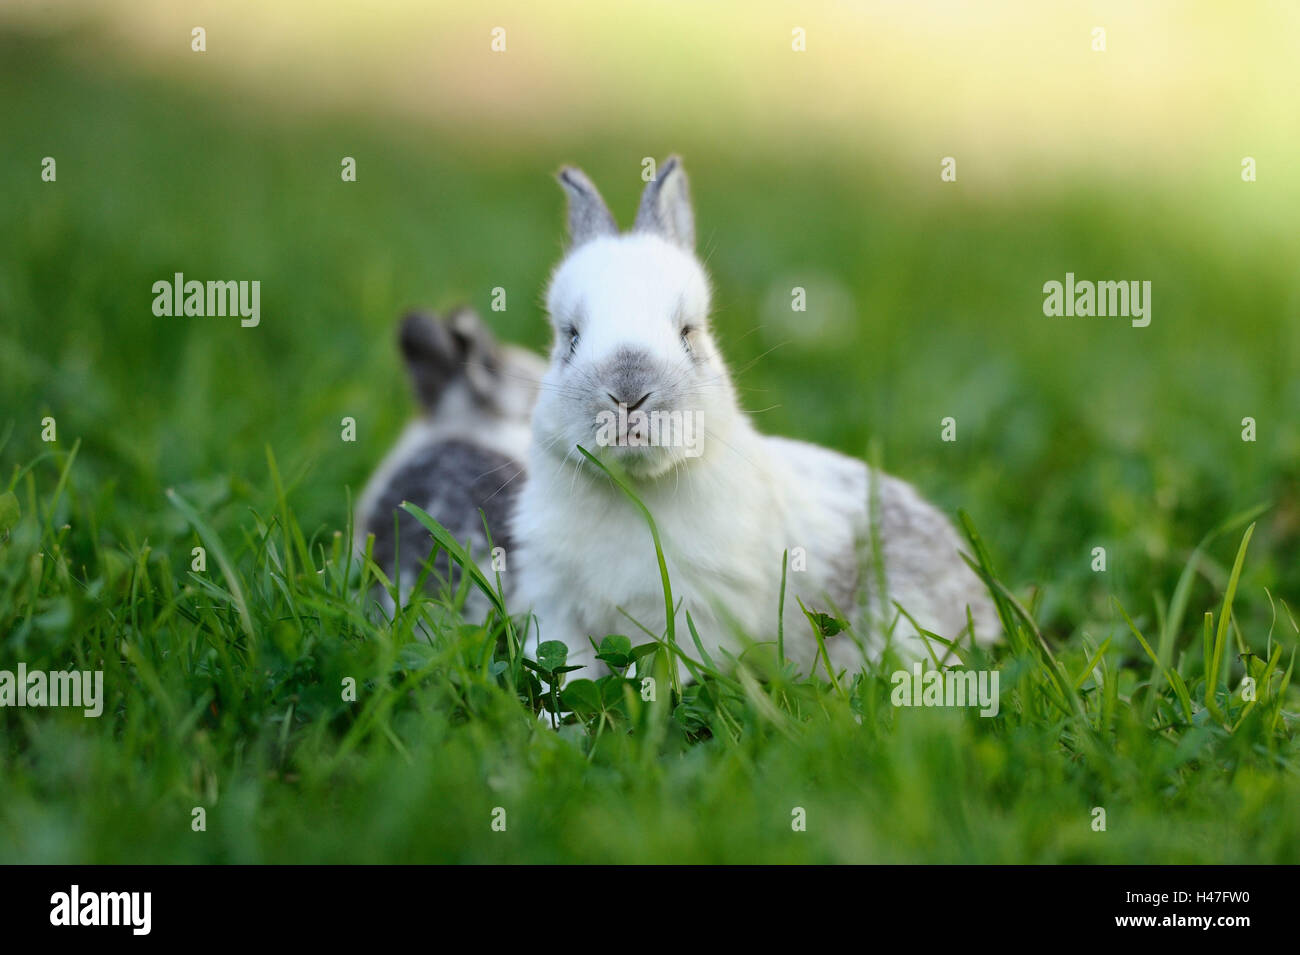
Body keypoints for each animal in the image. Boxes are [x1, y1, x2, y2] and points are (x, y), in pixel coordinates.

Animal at [511, 156, 1000, 680]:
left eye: (689, 333)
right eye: (570, 337)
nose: (628, 395)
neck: (634, 489)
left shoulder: (690, 615)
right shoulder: (556, 605)